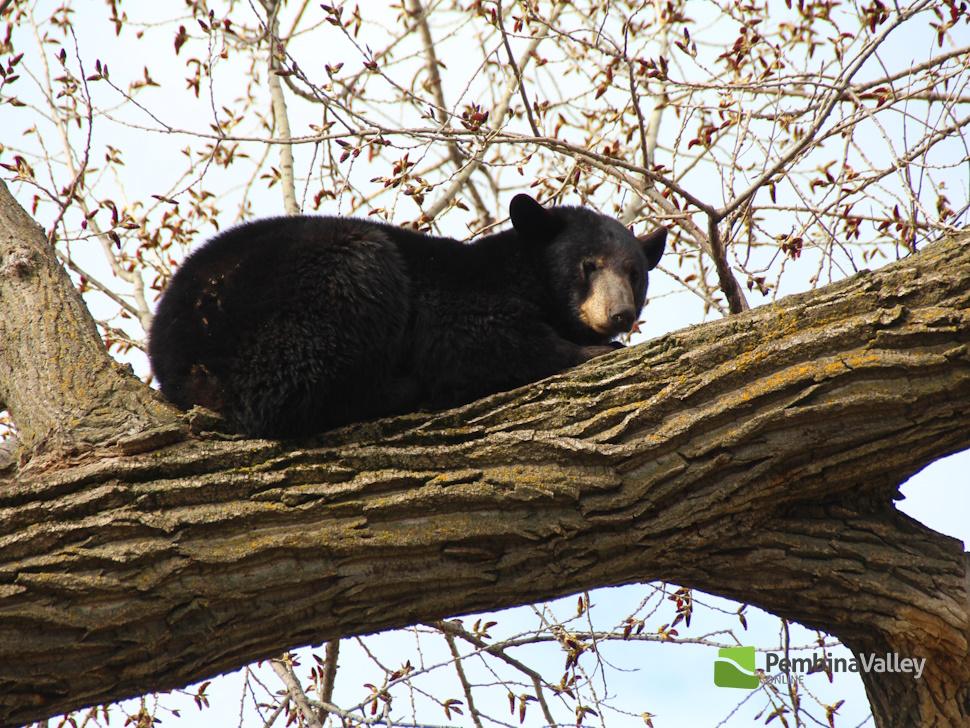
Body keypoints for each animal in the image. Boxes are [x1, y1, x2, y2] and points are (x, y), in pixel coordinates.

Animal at [148, 194, 666, 438]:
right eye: (588, 265)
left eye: (635, 273)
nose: (619, 314)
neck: (522, 271)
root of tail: (172, 359)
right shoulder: (459, 293)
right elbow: (474, 339)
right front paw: (592, 351)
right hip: (315, 287)